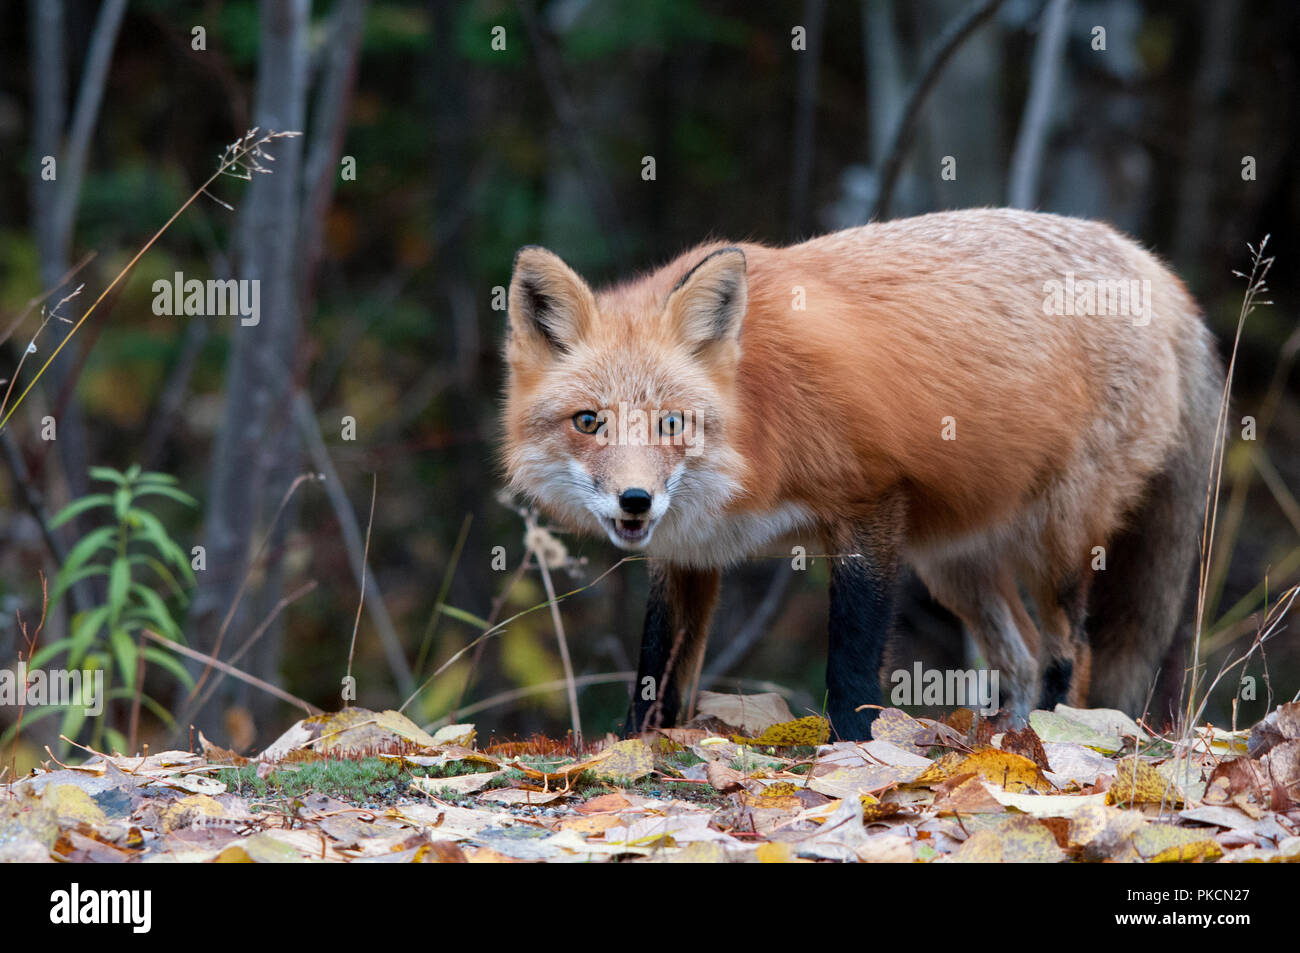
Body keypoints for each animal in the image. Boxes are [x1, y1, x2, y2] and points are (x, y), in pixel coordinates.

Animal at [500, 208, 1223, 740]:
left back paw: (1046, 736)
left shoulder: (871, 499)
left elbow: (852, 650)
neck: (758, 418)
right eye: (589, 421)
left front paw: (854, 744)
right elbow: (658, 667)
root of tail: (1156, 270)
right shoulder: (688, 550)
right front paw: (633, 746)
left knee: (1070, 652)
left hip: (1055, 540)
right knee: (1019, 654)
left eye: (672, 423)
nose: (636, 501)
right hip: (954, 561)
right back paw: (1003, 740)